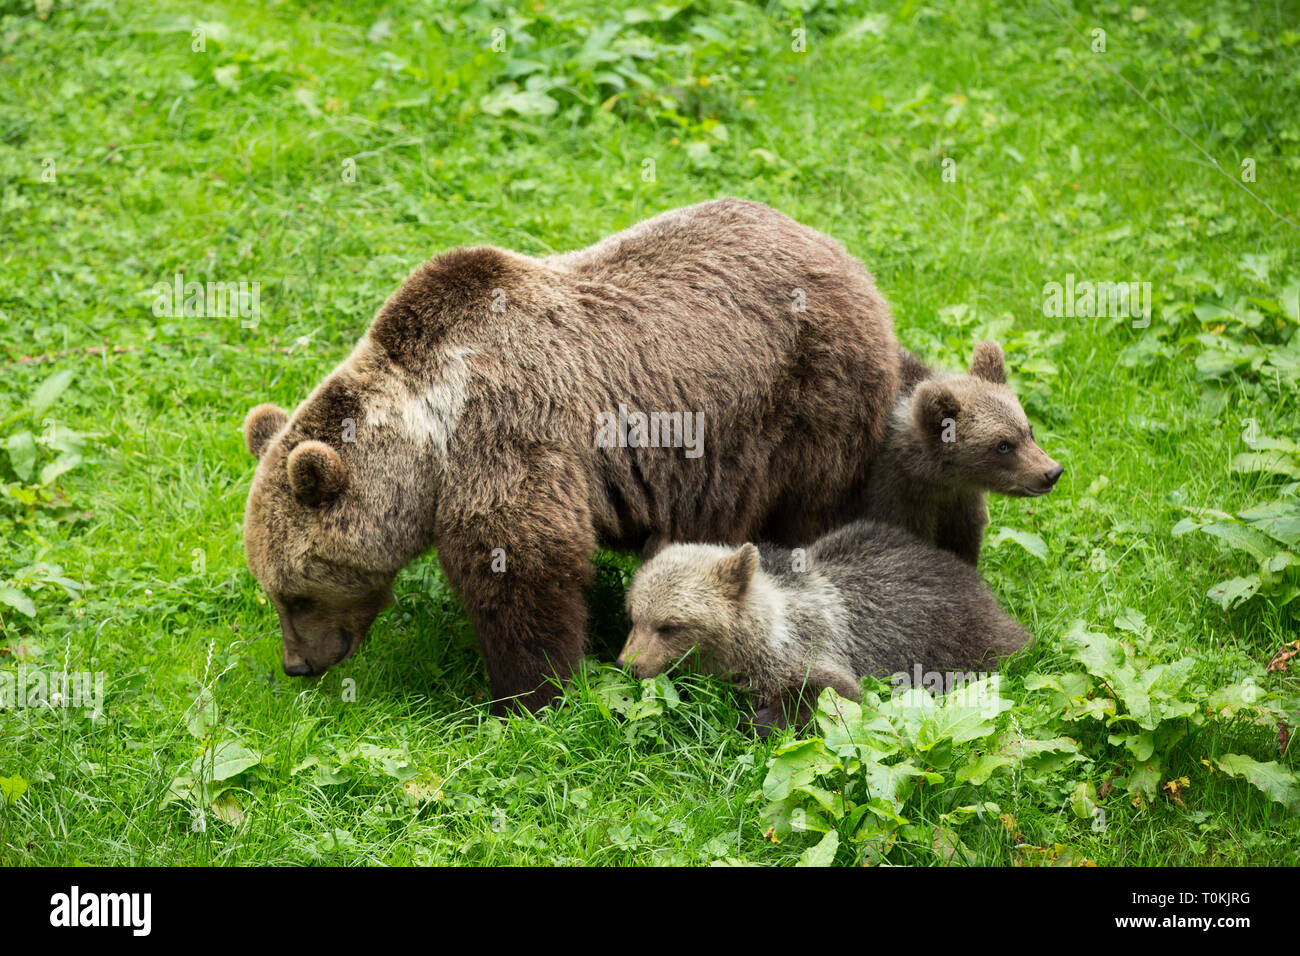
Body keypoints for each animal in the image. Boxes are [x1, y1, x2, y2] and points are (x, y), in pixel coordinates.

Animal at [242, 198, 900, 712]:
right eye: (272, 591)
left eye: (297, 594)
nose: (296, 664)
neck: (429, 437)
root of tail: (845, 254)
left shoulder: (506, 433)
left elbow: (525, 567)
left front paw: (525, 696)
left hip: (811, 405)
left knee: (811, 506)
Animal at [616, 520, 1033, 733]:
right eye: (633, 616)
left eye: (670, 625)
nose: (628, 664)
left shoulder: (814, 644)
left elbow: (831, 693)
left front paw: (760, 719)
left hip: (959, 637)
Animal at [860, 341, 1063, 566]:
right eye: (1003, 445)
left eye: (1029, 430)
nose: (1052, 472)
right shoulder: (899, 493)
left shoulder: (961, 503)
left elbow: (963, 540)